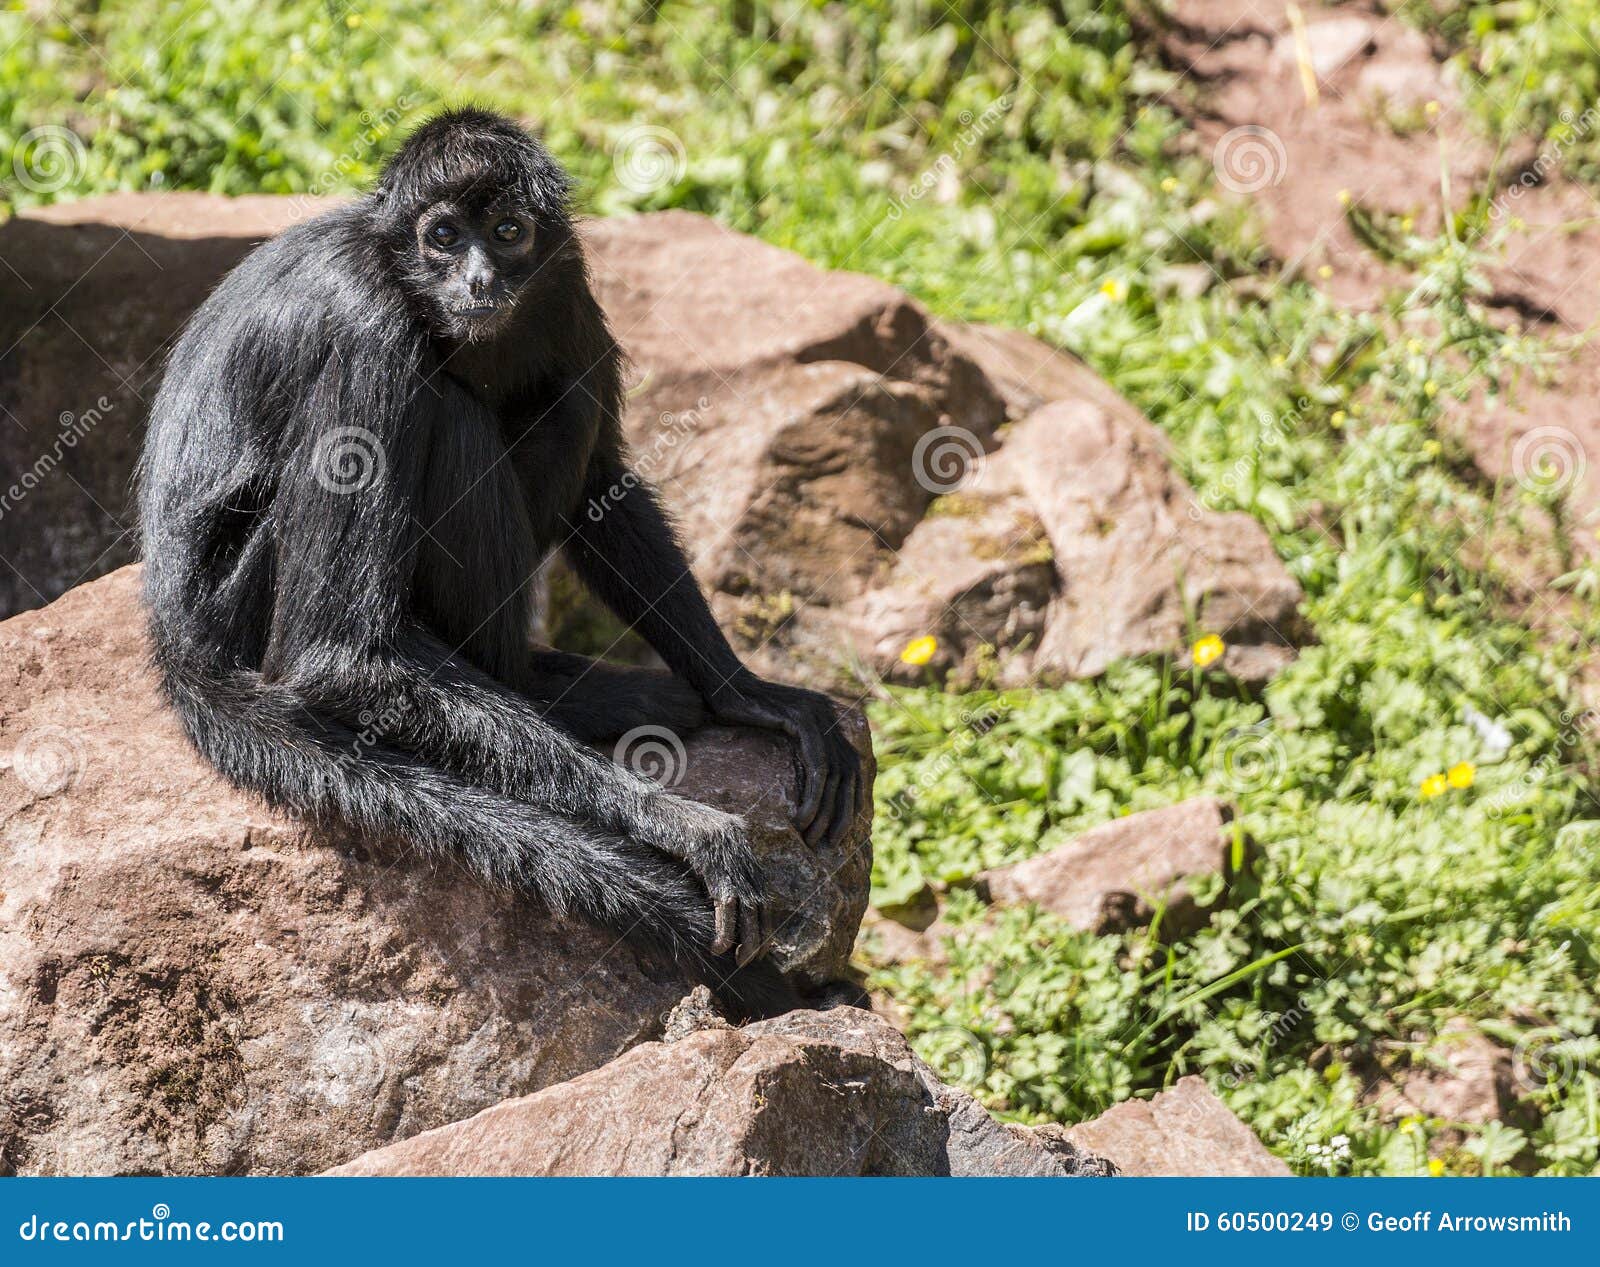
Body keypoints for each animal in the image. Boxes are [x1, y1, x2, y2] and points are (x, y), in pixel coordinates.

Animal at [135, 108, 864, 1018]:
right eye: (443, 236)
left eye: (509, 233)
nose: (479, 277)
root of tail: (177, 634)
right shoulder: (368, 325)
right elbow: (335, 660)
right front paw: (677, 824)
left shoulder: (564, 279)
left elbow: (602, 479)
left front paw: (747, 691)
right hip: (250, 581)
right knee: (446, 408)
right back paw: (539, 685)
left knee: (561, 400)